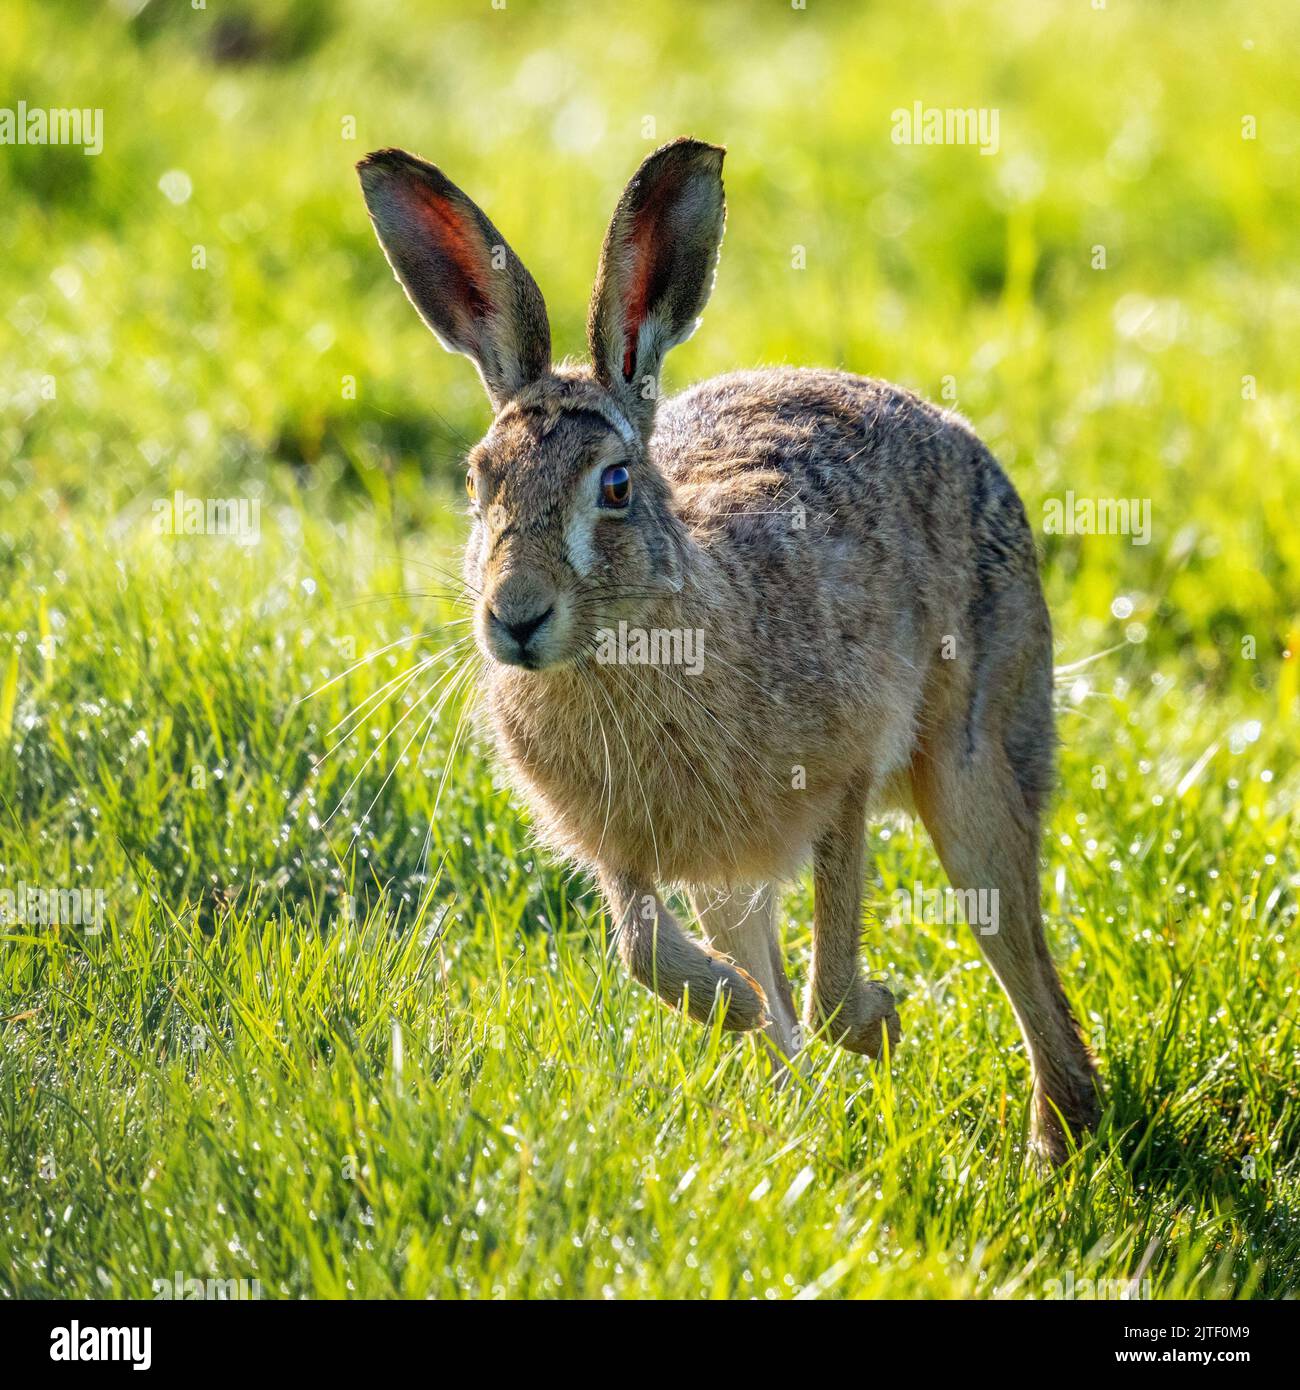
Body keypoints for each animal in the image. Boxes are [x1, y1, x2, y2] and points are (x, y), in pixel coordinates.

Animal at [357, 137, 1101, 1162]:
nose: (514, 617)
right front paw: (731, 1005)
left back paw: (1055, 1143)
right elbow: (640, 951)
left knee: (1015, 947)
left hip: (977, 767)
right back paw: (799, 1126)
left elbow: (832, 985)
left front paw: (880, 1020)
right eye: (478, 482)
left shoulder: (841, 782)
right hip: (733, 874)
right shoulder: (620, 843)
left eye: (616, 486)